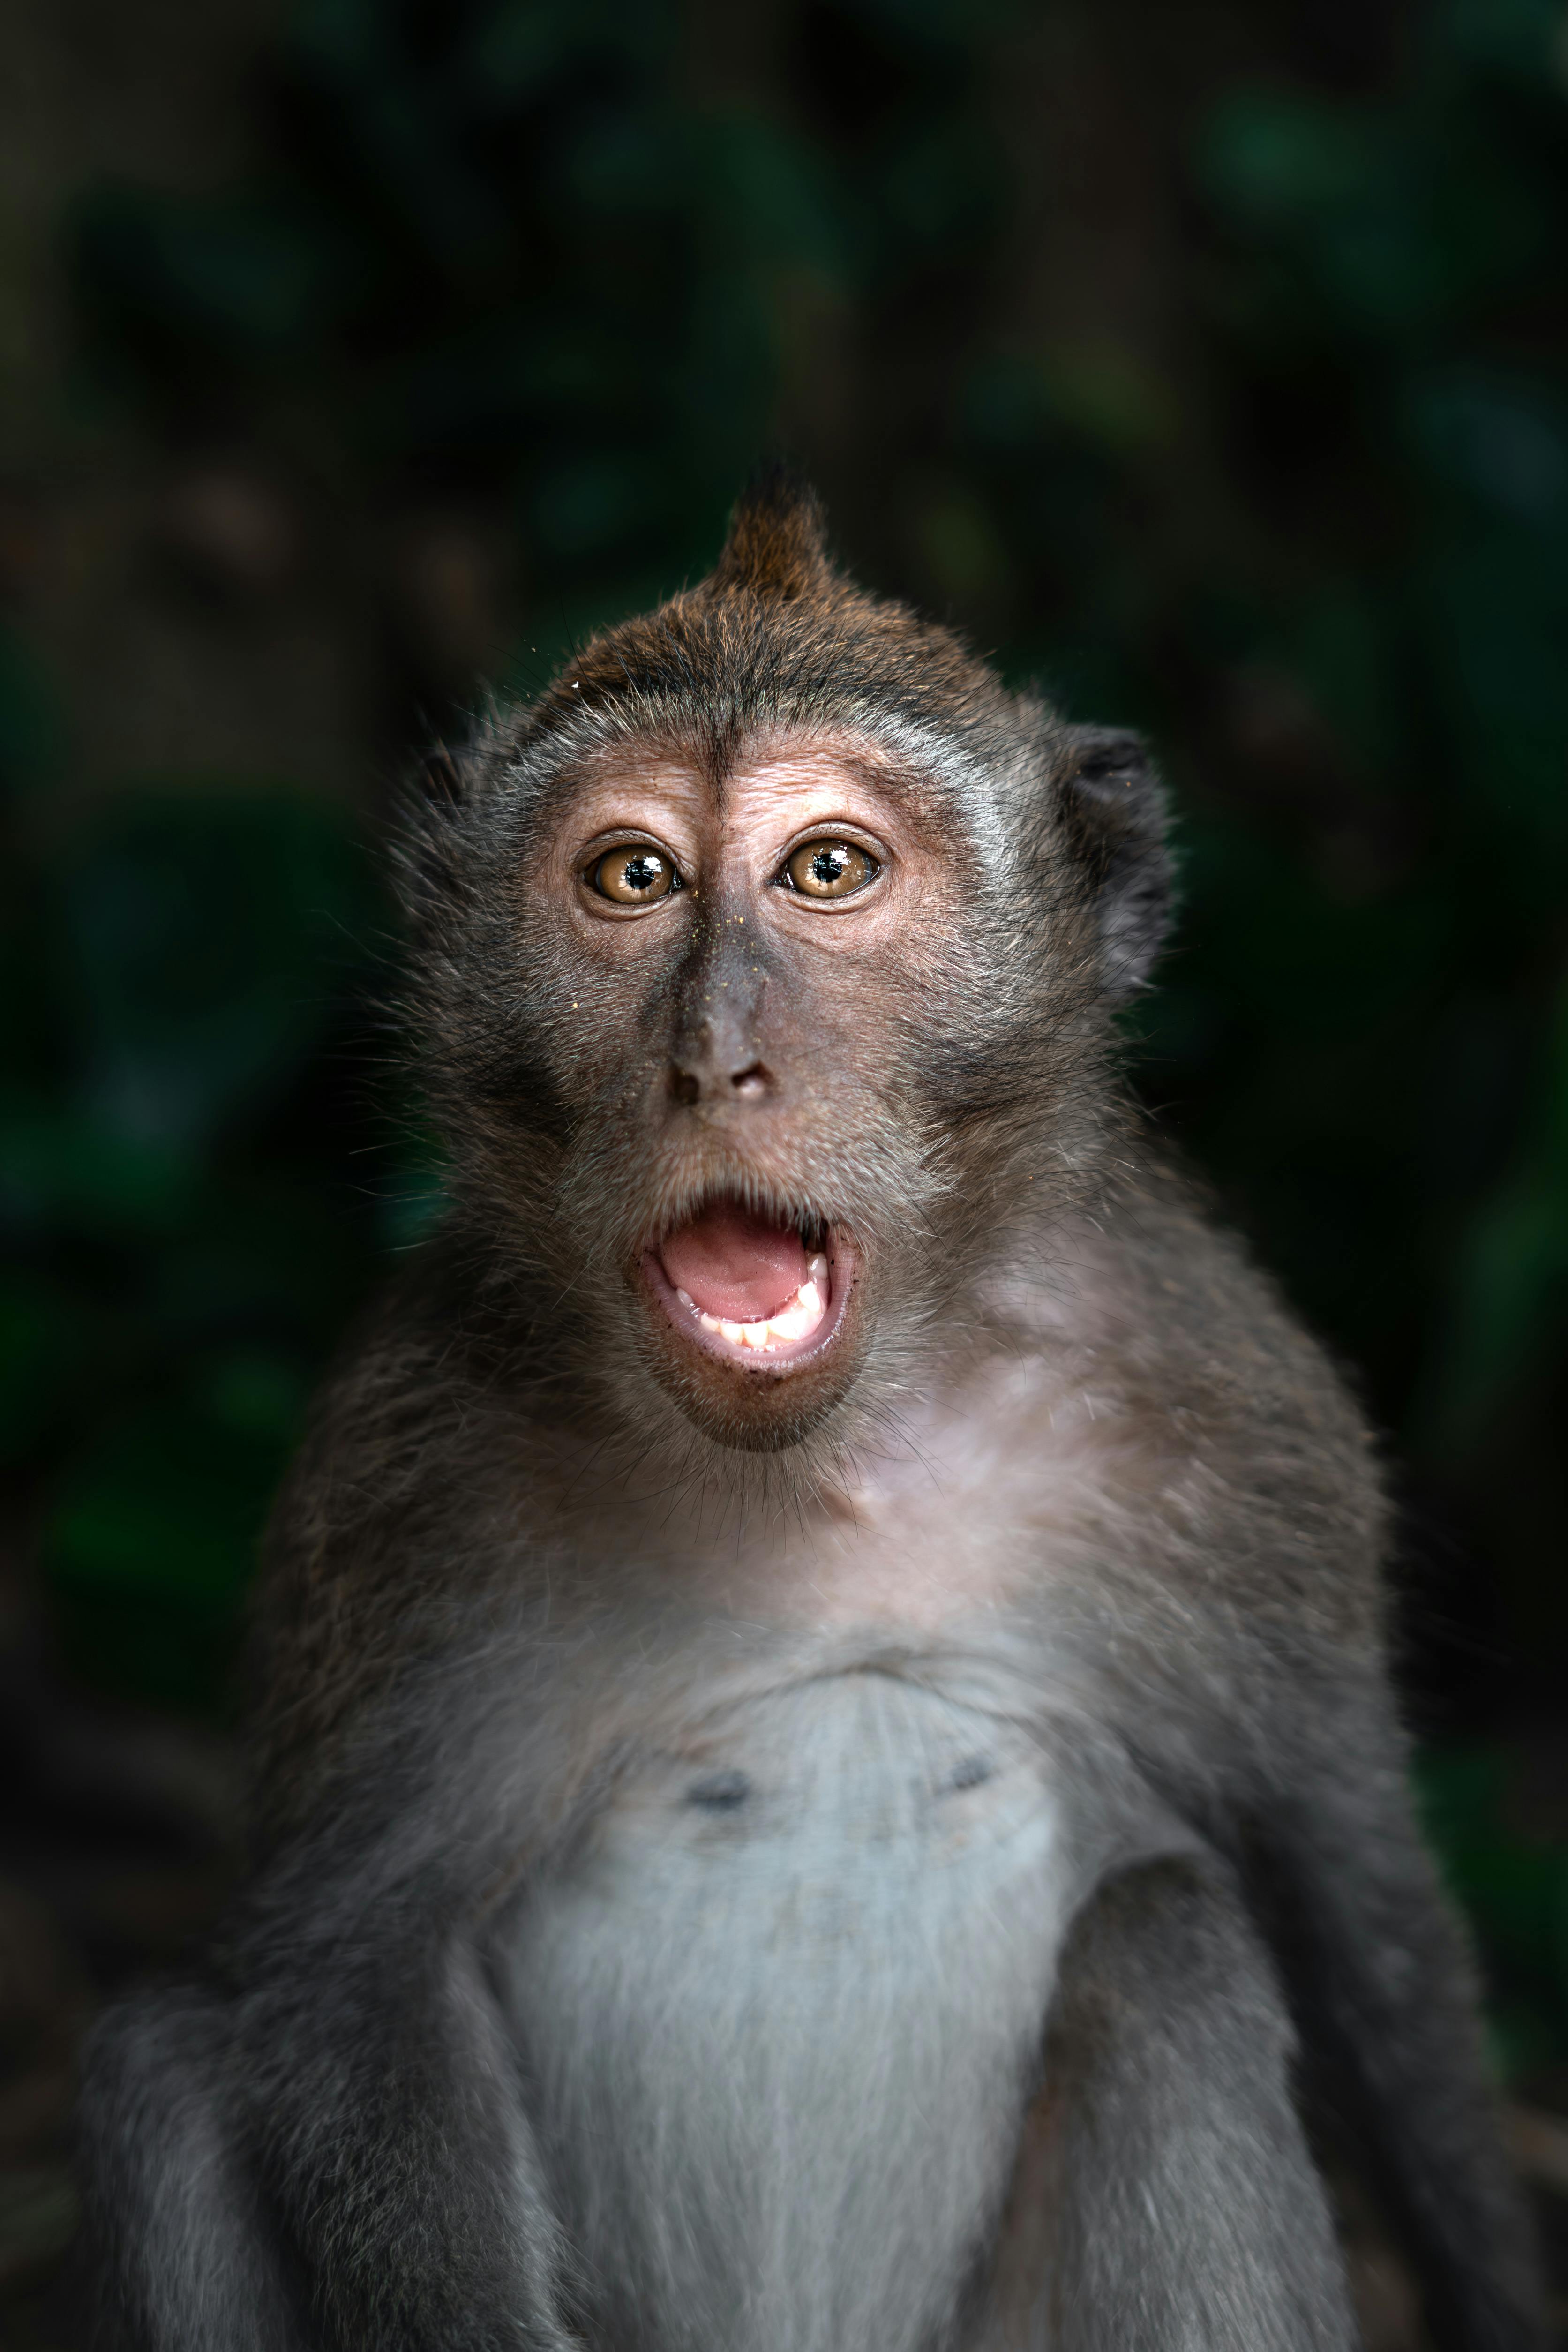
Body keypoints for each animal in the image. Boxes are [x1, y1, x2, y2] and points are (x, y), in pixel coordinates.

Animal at [76, 471, 1544, 2352]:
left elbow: (1351, 1892)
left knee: (1172, 1941)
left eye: (826, 868)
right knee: (160, 2059)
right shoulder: (402, 1482)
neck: (831, 1467)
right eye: (631, 876)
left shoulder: (1234, 1418)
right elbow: (354, 1962)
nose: (711, 1057)